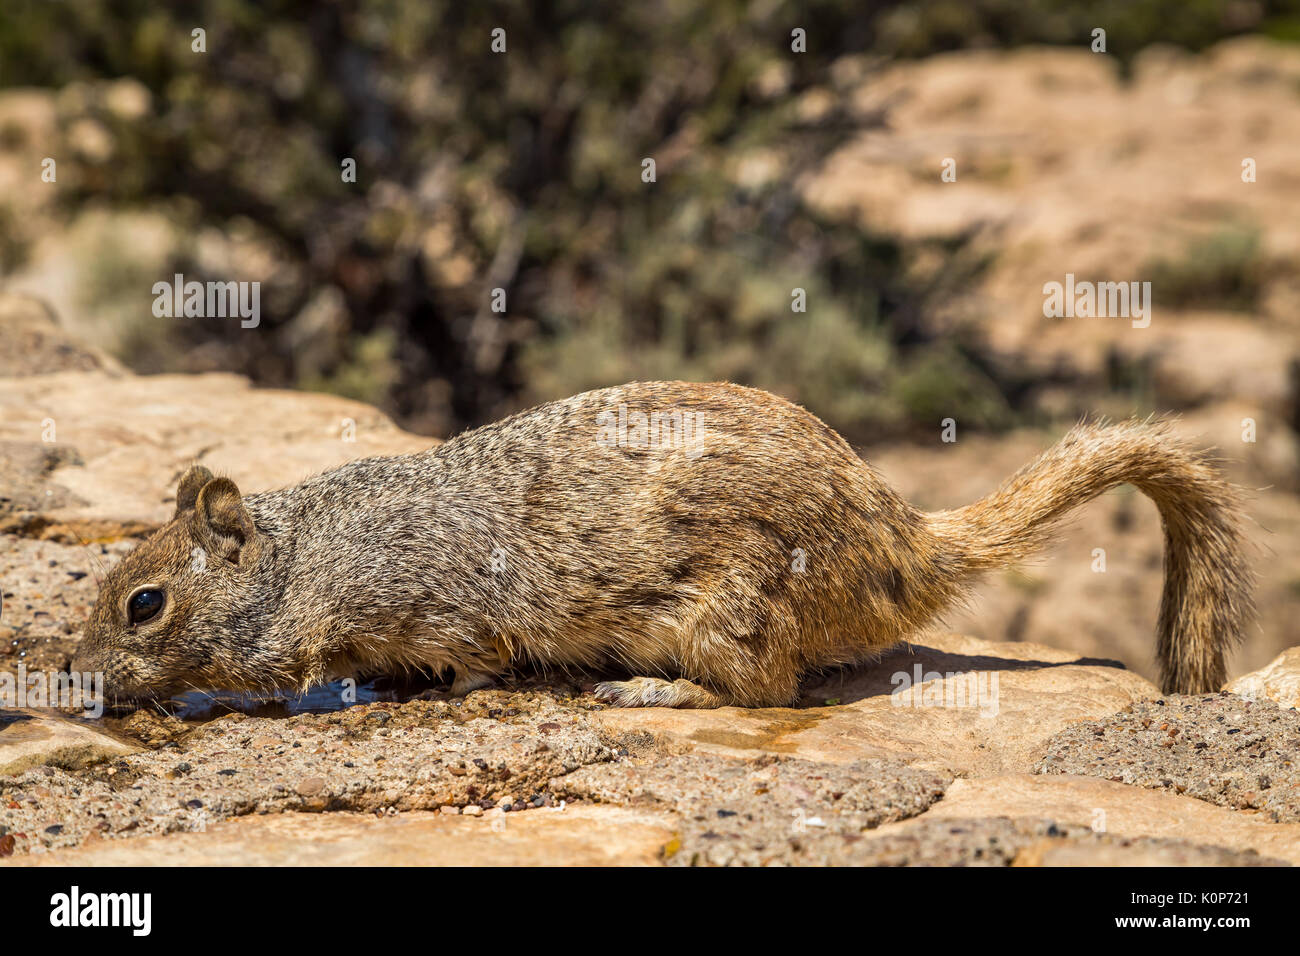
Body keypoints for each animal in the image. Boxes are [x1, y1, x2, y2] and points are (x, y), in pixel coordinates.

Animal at [73, 381, 1254, 709]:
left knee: (768, 688)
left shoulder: (428, 603)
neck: (304, 557)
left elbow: (470, 658)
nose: (75, 677)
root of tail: (905, 538)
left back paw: (653, 689)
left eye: (144, 602)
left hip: (732, 604)